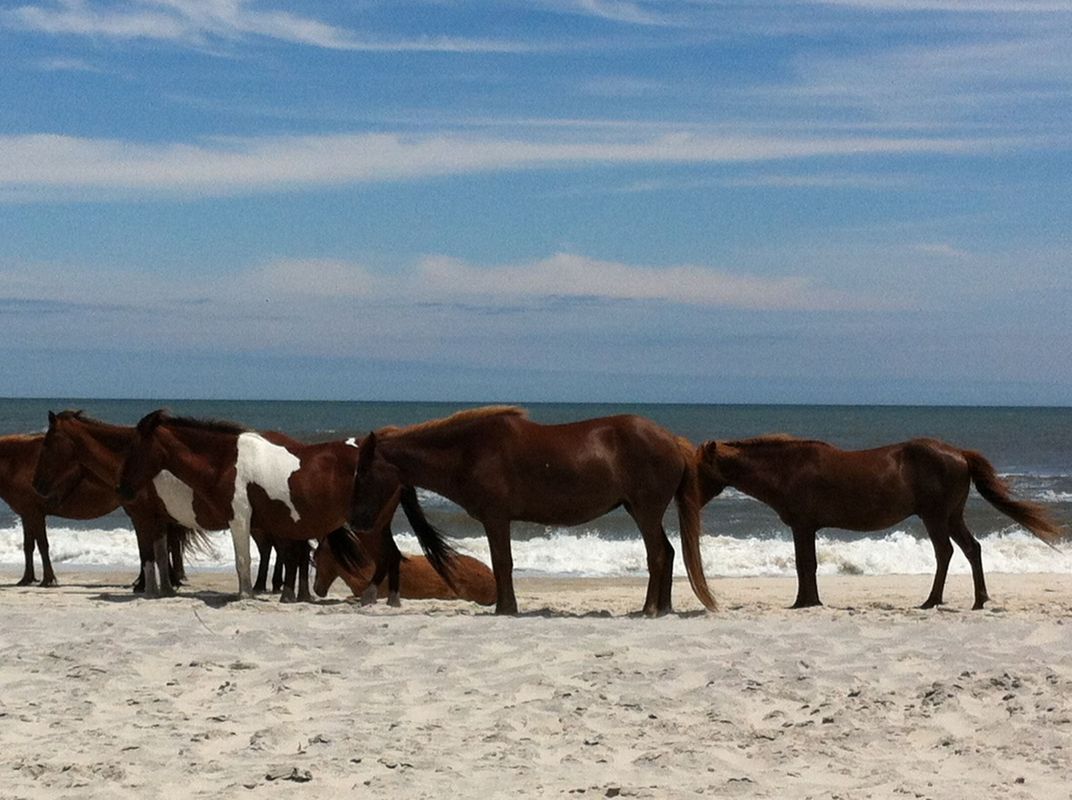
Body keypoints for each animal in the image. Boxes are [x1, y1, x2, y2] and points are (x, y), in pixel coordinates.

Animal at [31, 411, 206, 595]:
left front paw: (148, 588)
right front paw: (165, 589)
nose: (36, 484)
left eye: (46, 444)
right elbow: (160, 555)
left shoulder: (142, 517)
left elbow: (147, 553)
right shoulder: (158, 518)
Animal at [116, 409, 451, 601]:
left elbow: (244, 560)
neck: (225, 462)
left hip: (369, 525)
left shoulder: (240, 519)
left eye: (135, 448)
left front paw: (246, 595)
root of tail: (392, 464)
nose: (123, 489)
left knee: (388, 556)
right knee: (391, 556)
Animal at [347, 406, 716, 616]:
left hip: (645, 511)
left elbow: (502, 563)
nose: (354, 520)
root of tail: (670, 439)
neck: (470, 450)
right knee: (668, 553)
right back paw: (661, 608)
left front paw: (505, 609)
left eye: (362, 472)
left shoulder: (496, 519)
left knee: (658, 555)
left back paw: (651, 609)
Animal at [696, 434, 1064, 610]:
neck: (787, 468)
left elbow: (805, 565)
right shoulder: (807, 528)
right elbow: (808, 564)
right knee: (972, 549)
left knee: (945, 553)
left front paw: (805, 602)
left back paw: (932, 600)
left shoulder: (802, 526)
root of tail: (959, 454)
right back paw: (978, 599)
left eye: (699, 467)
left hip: (935, 517)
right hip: (951, 516)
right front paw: (808, 600)